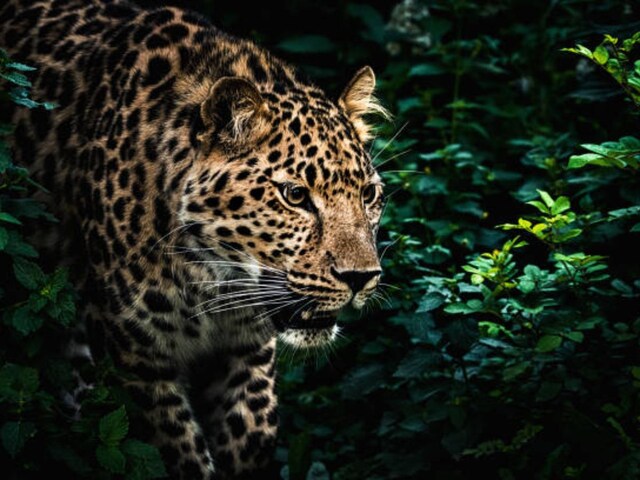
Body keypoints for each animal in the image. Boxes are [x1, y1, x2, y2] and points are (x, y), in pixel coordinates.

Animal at [0, 0, 389, 478]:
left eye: (368, 194)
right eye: (295, 195)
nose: (361, 278)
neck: (211, 281)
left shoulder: (248, 348)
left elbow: (251, 433)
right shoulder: (139, 360)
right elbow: (175, 453)